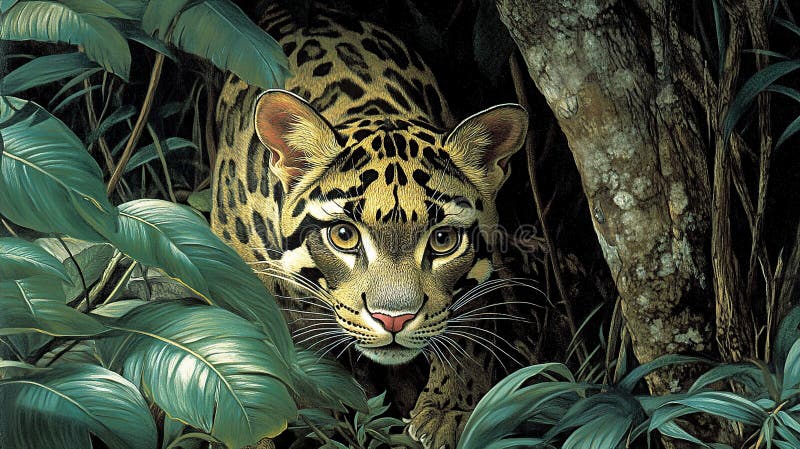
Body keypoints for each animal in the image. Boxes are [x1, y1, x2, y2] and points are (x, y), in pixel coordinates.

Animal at [211, 3, 530, 448]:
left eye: (443, 240)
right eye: (344, 235)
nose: (393, 320)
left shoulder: (480, 275)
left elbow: (469, 332)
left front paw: (449, 412)